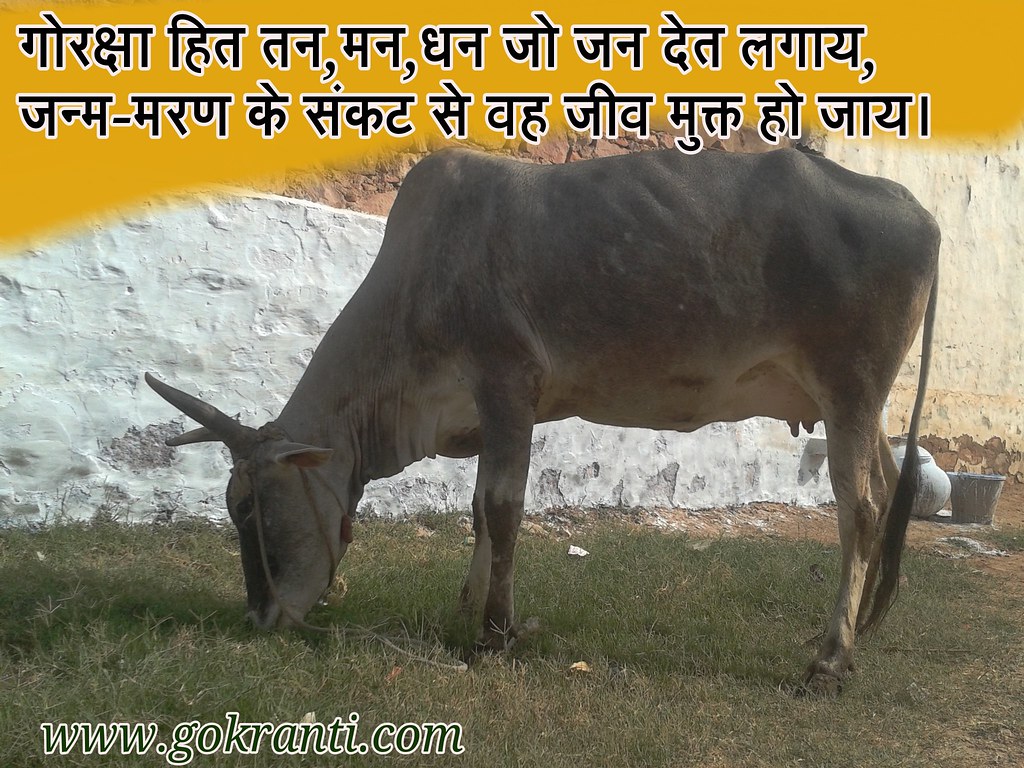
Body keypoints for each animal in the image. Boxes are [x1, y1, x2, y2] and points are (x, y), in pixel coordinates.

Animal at [146, 146, 939, 695]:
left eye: (252, 507)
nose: (259, 616)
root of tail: (912, 205)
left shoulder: (507, 384)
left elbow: (501, 508)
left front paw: (495, 633)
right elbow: (475, 510)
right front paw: (466, 607)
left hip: (850, 389)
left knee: (860, 511)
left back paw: (831, 660)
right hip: (860, 408)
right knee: (886, 487)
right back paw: (862, 630)